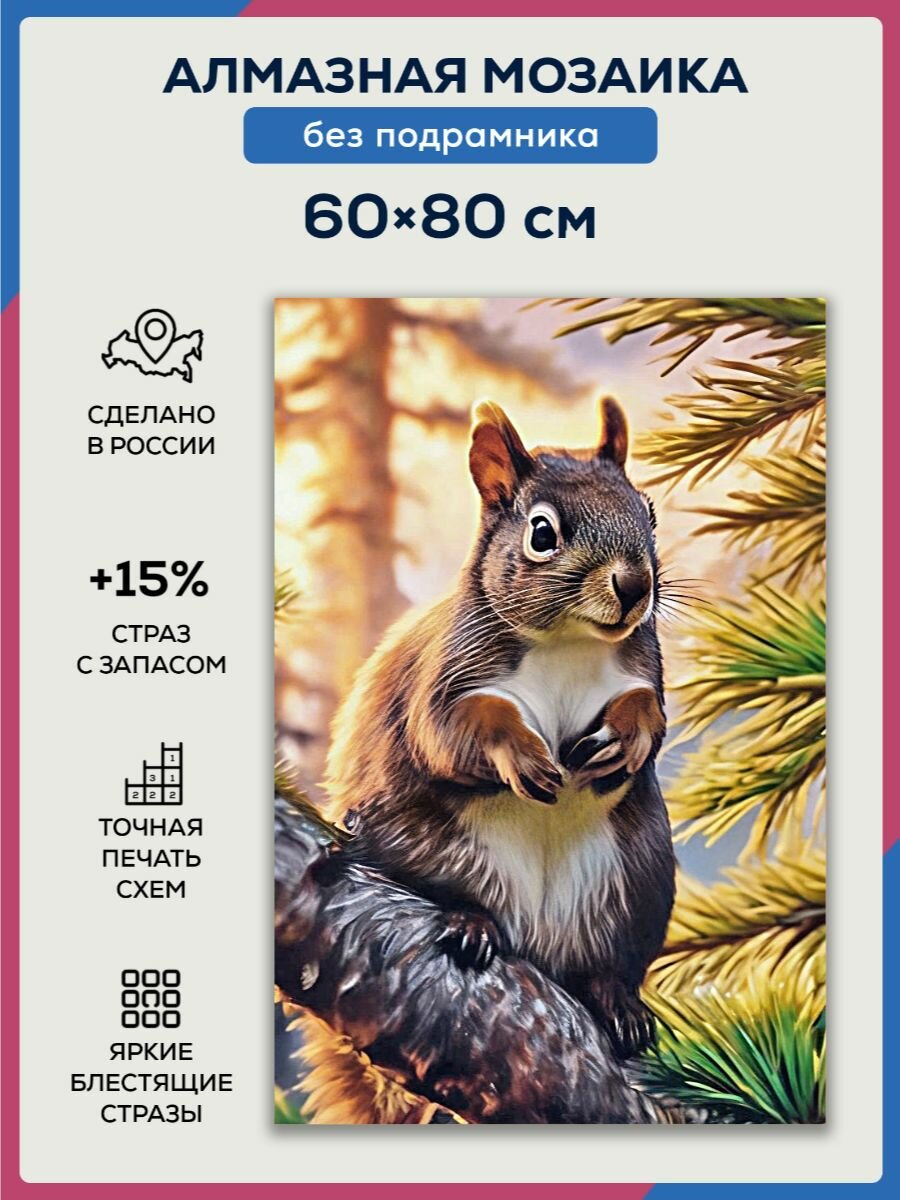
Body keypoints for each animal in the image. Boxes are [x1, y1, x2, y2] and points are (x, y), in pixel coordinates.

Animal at [323, 397, 675, 1060]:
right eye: (542, 534)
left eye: (649, 513)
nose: (635, 586)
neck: (568, 643)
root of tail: (536, 941)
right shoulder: (447, 676)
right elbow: (454, 730)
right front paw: (525, 755)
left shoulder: (643, 672)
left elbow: (648, 713)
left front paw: (623, 740)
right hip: (419, 846)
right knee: (449, 893)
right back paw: (471, 924)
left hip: (636, 886)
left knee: (604, 967)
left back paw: (617, 999)